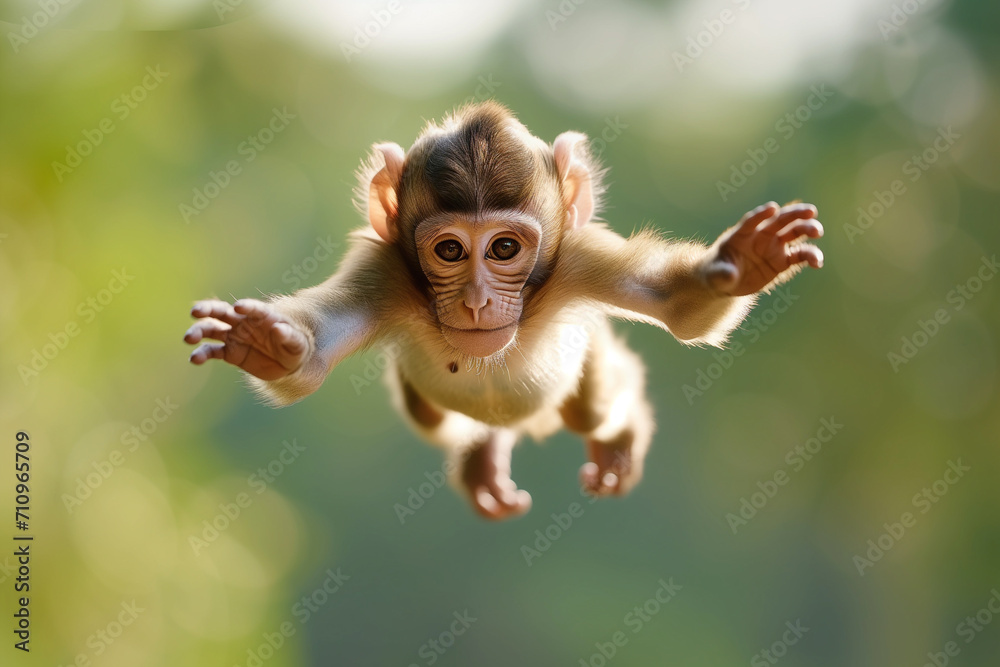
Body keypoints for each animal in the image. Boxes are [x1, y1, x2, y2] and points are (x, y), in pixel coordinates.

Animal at [184, 102, 824, 520]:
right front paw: (266, 344)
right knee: (433, 418)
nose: (477, 300)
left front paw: (746, 259)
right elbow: (311, 357)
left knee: (591, 411)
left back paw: (620, 435)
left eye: (505, 248)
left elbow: (680, 306)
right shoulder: (383, 276)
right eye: (449, 250)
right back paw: (482, 454)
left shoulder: (579, 260)